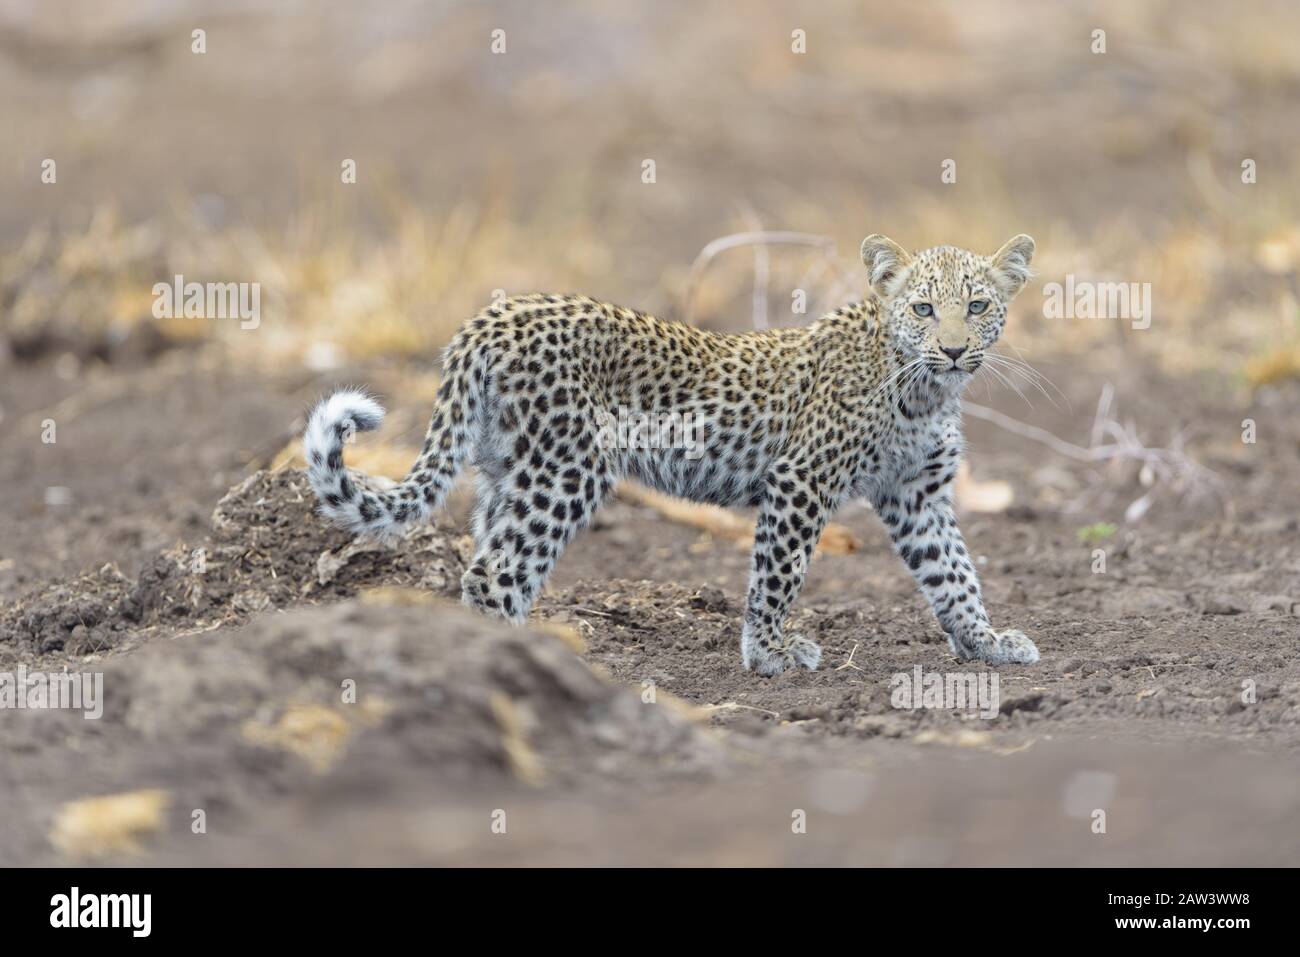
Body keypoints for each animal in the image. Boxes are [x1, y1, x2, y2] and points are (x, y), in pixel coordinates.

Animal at [302, 233, 1042, 675]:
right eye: (922, 308)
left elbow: (955, 572)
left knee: (487, 560)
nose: (953, 349)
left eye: (978, 307)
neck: (924, 389)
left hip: (509, 470)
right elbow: (777, 576)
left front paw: (985, 641)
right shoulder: (800, 480)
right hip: (566, 469)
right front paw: (769, 653)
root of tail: (489, 320)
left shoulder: (916, 495)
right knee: (495, 571)